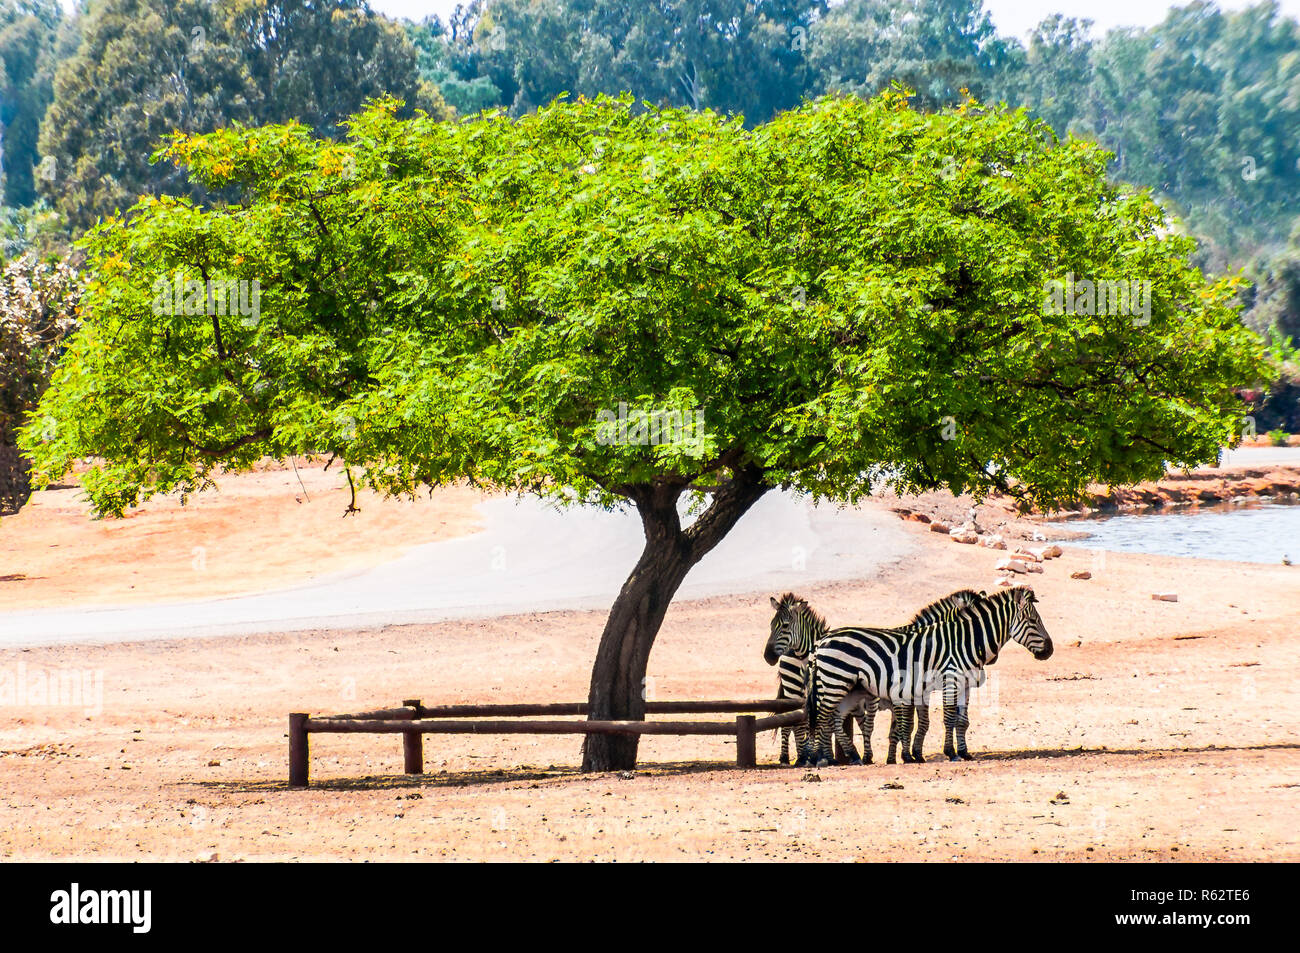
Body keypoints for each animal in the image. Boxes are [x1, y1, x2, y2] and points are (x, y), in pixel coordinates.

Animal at [764, 590, 976, 765]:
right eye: (772, 625)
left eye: (784, 626)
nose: (768, 657)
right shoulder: (881, 697)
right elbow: (880, 726)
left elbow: (903, 726)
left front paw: (892, 757)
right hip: (798, 690)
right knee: (796, 723)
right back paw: (798, 758)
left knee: (798, 722)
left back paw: (804, 756)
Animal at [804, 586, 1053, 768]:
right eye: (1033, 622)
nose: (1050, 650)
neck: (964, 640)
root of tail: (822, 640)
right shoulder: (947, 680)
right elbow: (945, 719)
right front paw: (949, 752)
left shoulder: (962, 685)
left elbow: (960, 721)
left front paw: (962, 752)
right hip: (835, 682)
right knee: (823, 717)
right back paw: (821, 759)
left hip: (847, 688)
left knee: (835, 718)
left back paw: (851, 756)